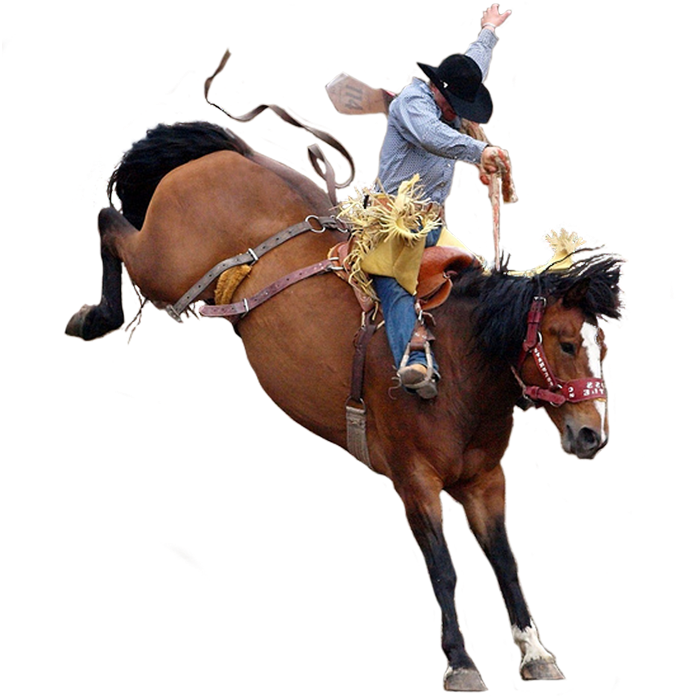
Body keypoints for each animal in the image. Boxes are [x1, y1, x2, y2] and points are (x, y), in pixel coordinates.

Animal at [64, 118, 627, 692]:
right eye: (564, 343)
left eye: (602, 348)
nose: (592, 435)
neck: (460, 359)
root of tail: (232, 151)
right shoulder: (413, 476)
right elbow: (442, 565)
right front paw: (461, 663)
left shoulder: (486, 480)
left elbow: (506, 563)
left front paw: (535, 653)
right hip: (164, 263)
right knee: (109, 222)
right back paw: (96, 316)